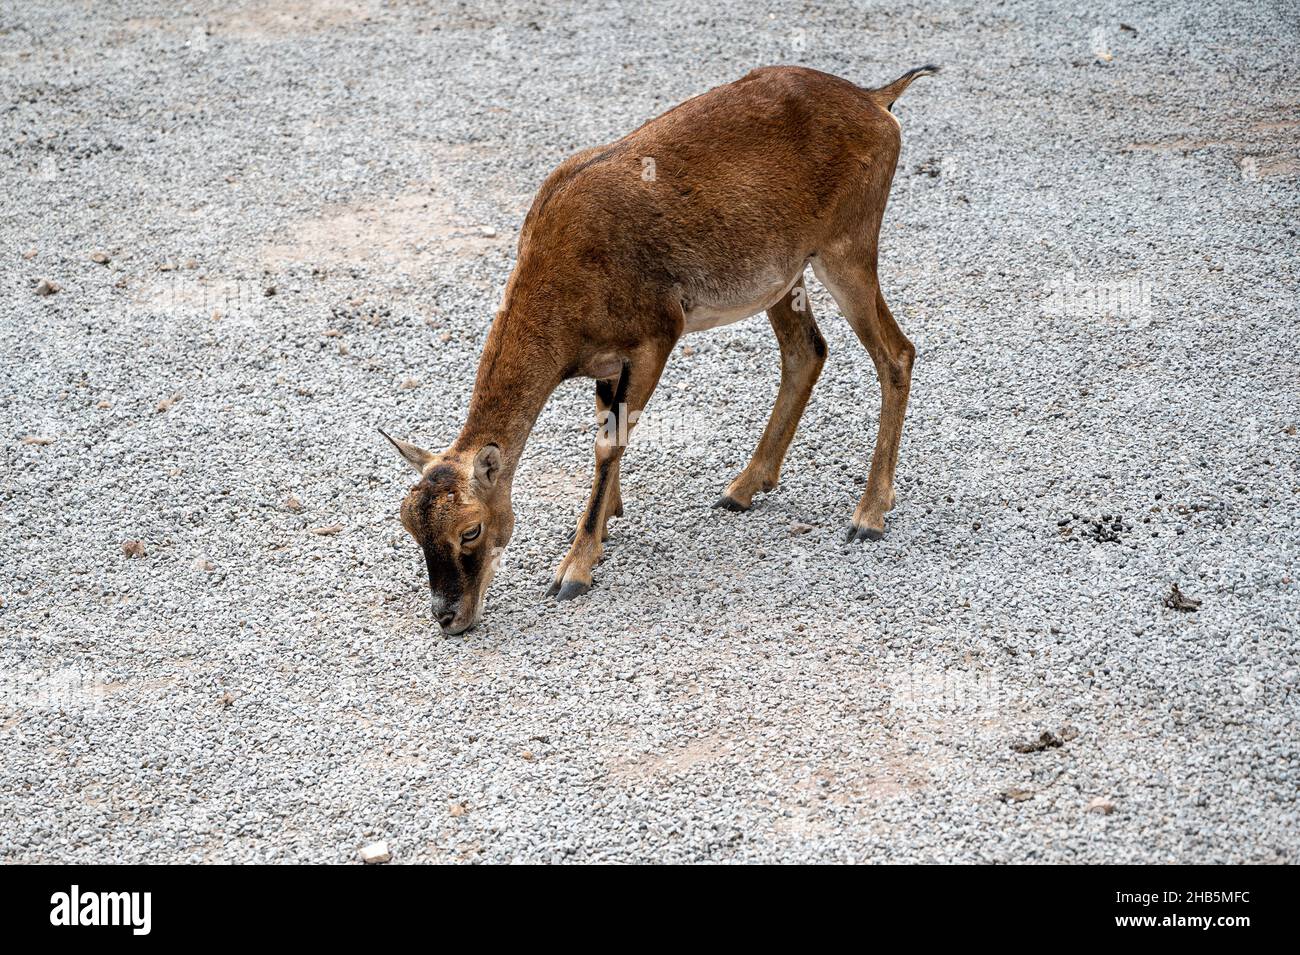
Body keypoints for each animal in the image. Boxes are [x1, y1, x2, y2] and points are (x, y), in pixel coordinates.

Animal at [382, 65, 937, 634]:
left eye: (470, 529)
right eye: (410, 527)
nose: (448, 616)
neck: (566, 267)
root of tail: (879, 101)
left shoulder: (655, 338)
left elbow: (610, 442)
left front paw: (573, 570)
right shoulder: (608, 363)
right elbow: (605, 428)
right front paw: (607, 523)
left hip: (846, 248)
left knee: (896, 352)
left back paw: (868, 515)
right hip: (784, 276)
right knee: (807, 351)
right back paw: (742, 489)